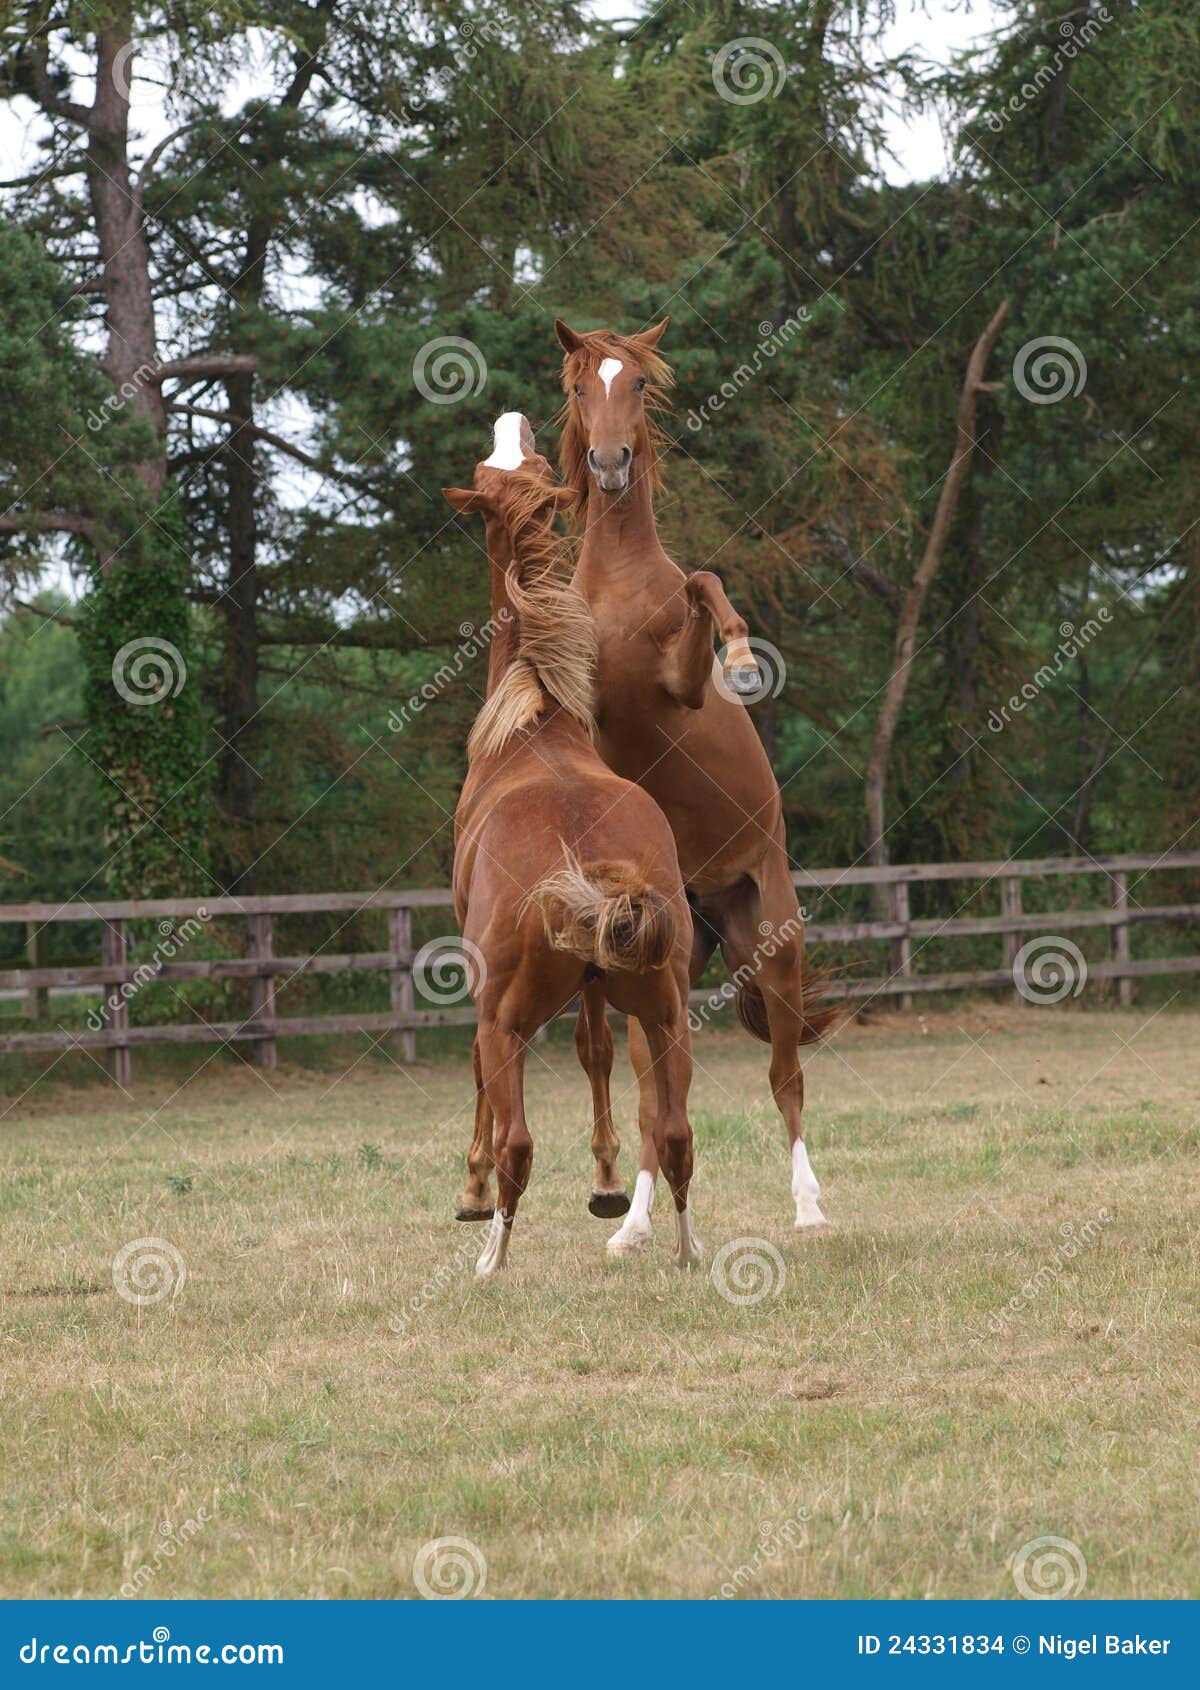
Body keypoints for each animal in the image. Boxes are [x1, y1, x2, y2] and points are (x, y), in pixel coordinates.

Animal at [442, 413, 703, 1274]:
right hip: (664, 1012)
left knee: (518, 1141)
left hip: (507, 1020)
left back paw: (491, 1259)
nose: (511, 422)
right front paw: (607, 1183)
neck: (534, 725)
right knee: (677, 1133)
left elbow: (485, 1088)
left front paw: (470, 1190)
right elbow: (596, 1054)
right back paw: (684, 1249)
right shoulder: (597, 989)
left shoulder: (484, 994)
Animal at [554, 318, 839, 1231]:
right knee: (652, 1088)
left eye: (639, 383)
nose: (609, 462)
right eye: (580, 386)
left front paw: (743, 659)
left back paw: (807, 1207)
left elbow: (704, 588)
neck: (616, 581)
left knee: (786, 1077)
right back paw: (634, 1221)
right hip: (669, 967)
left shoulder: (676, 687)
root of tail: (714, 901)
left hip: (774, 942)